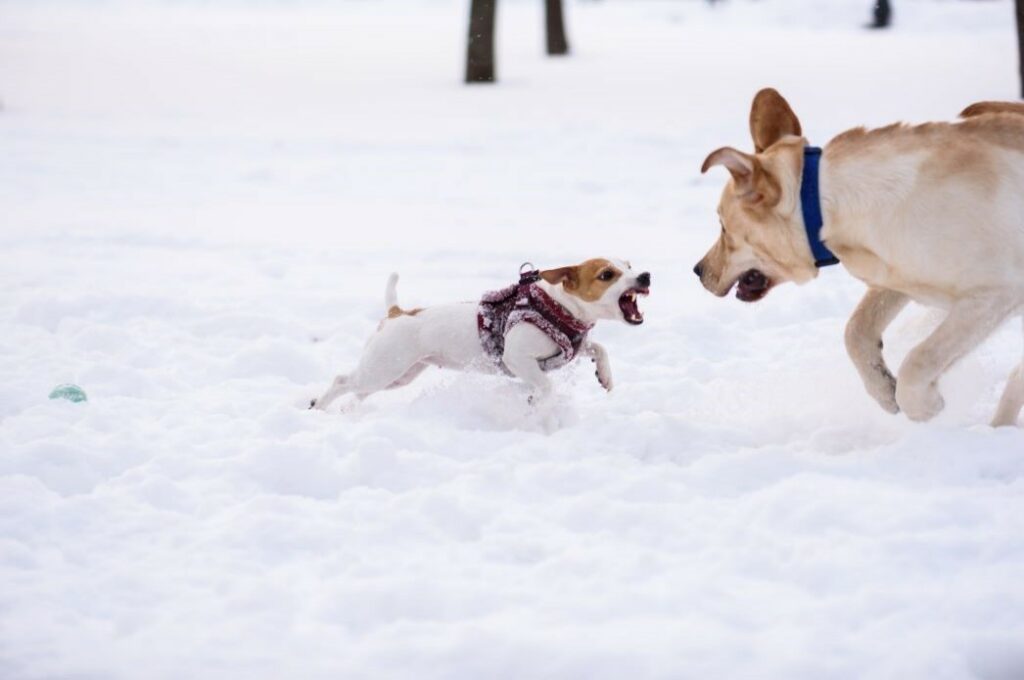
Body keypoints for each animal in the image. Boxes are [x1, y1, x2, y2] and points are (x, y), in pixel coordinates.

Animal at [307, 259, 651, 409]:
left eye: (629, 264)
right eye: (607, 274)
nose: (646, 275)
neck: (558, 308)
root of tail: (397, 312)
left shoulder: (574, 346)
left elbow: (599, 348)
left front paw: (605, 376)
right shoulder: (517, 358)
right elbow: (545, 384)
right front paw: (536, 399)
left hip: (399, 375)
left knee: (357, 393)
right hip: (384, 366)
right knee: (342, 381)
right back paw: (318, 406)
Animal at [696, 89, 1024, 426]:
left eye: (722, 226)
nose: (698, 270)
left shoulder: (996, 294)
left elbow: (918, 359)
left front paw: (925, 406)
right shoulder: (894, 277)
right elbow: (855, 331)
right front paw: (884, 389)